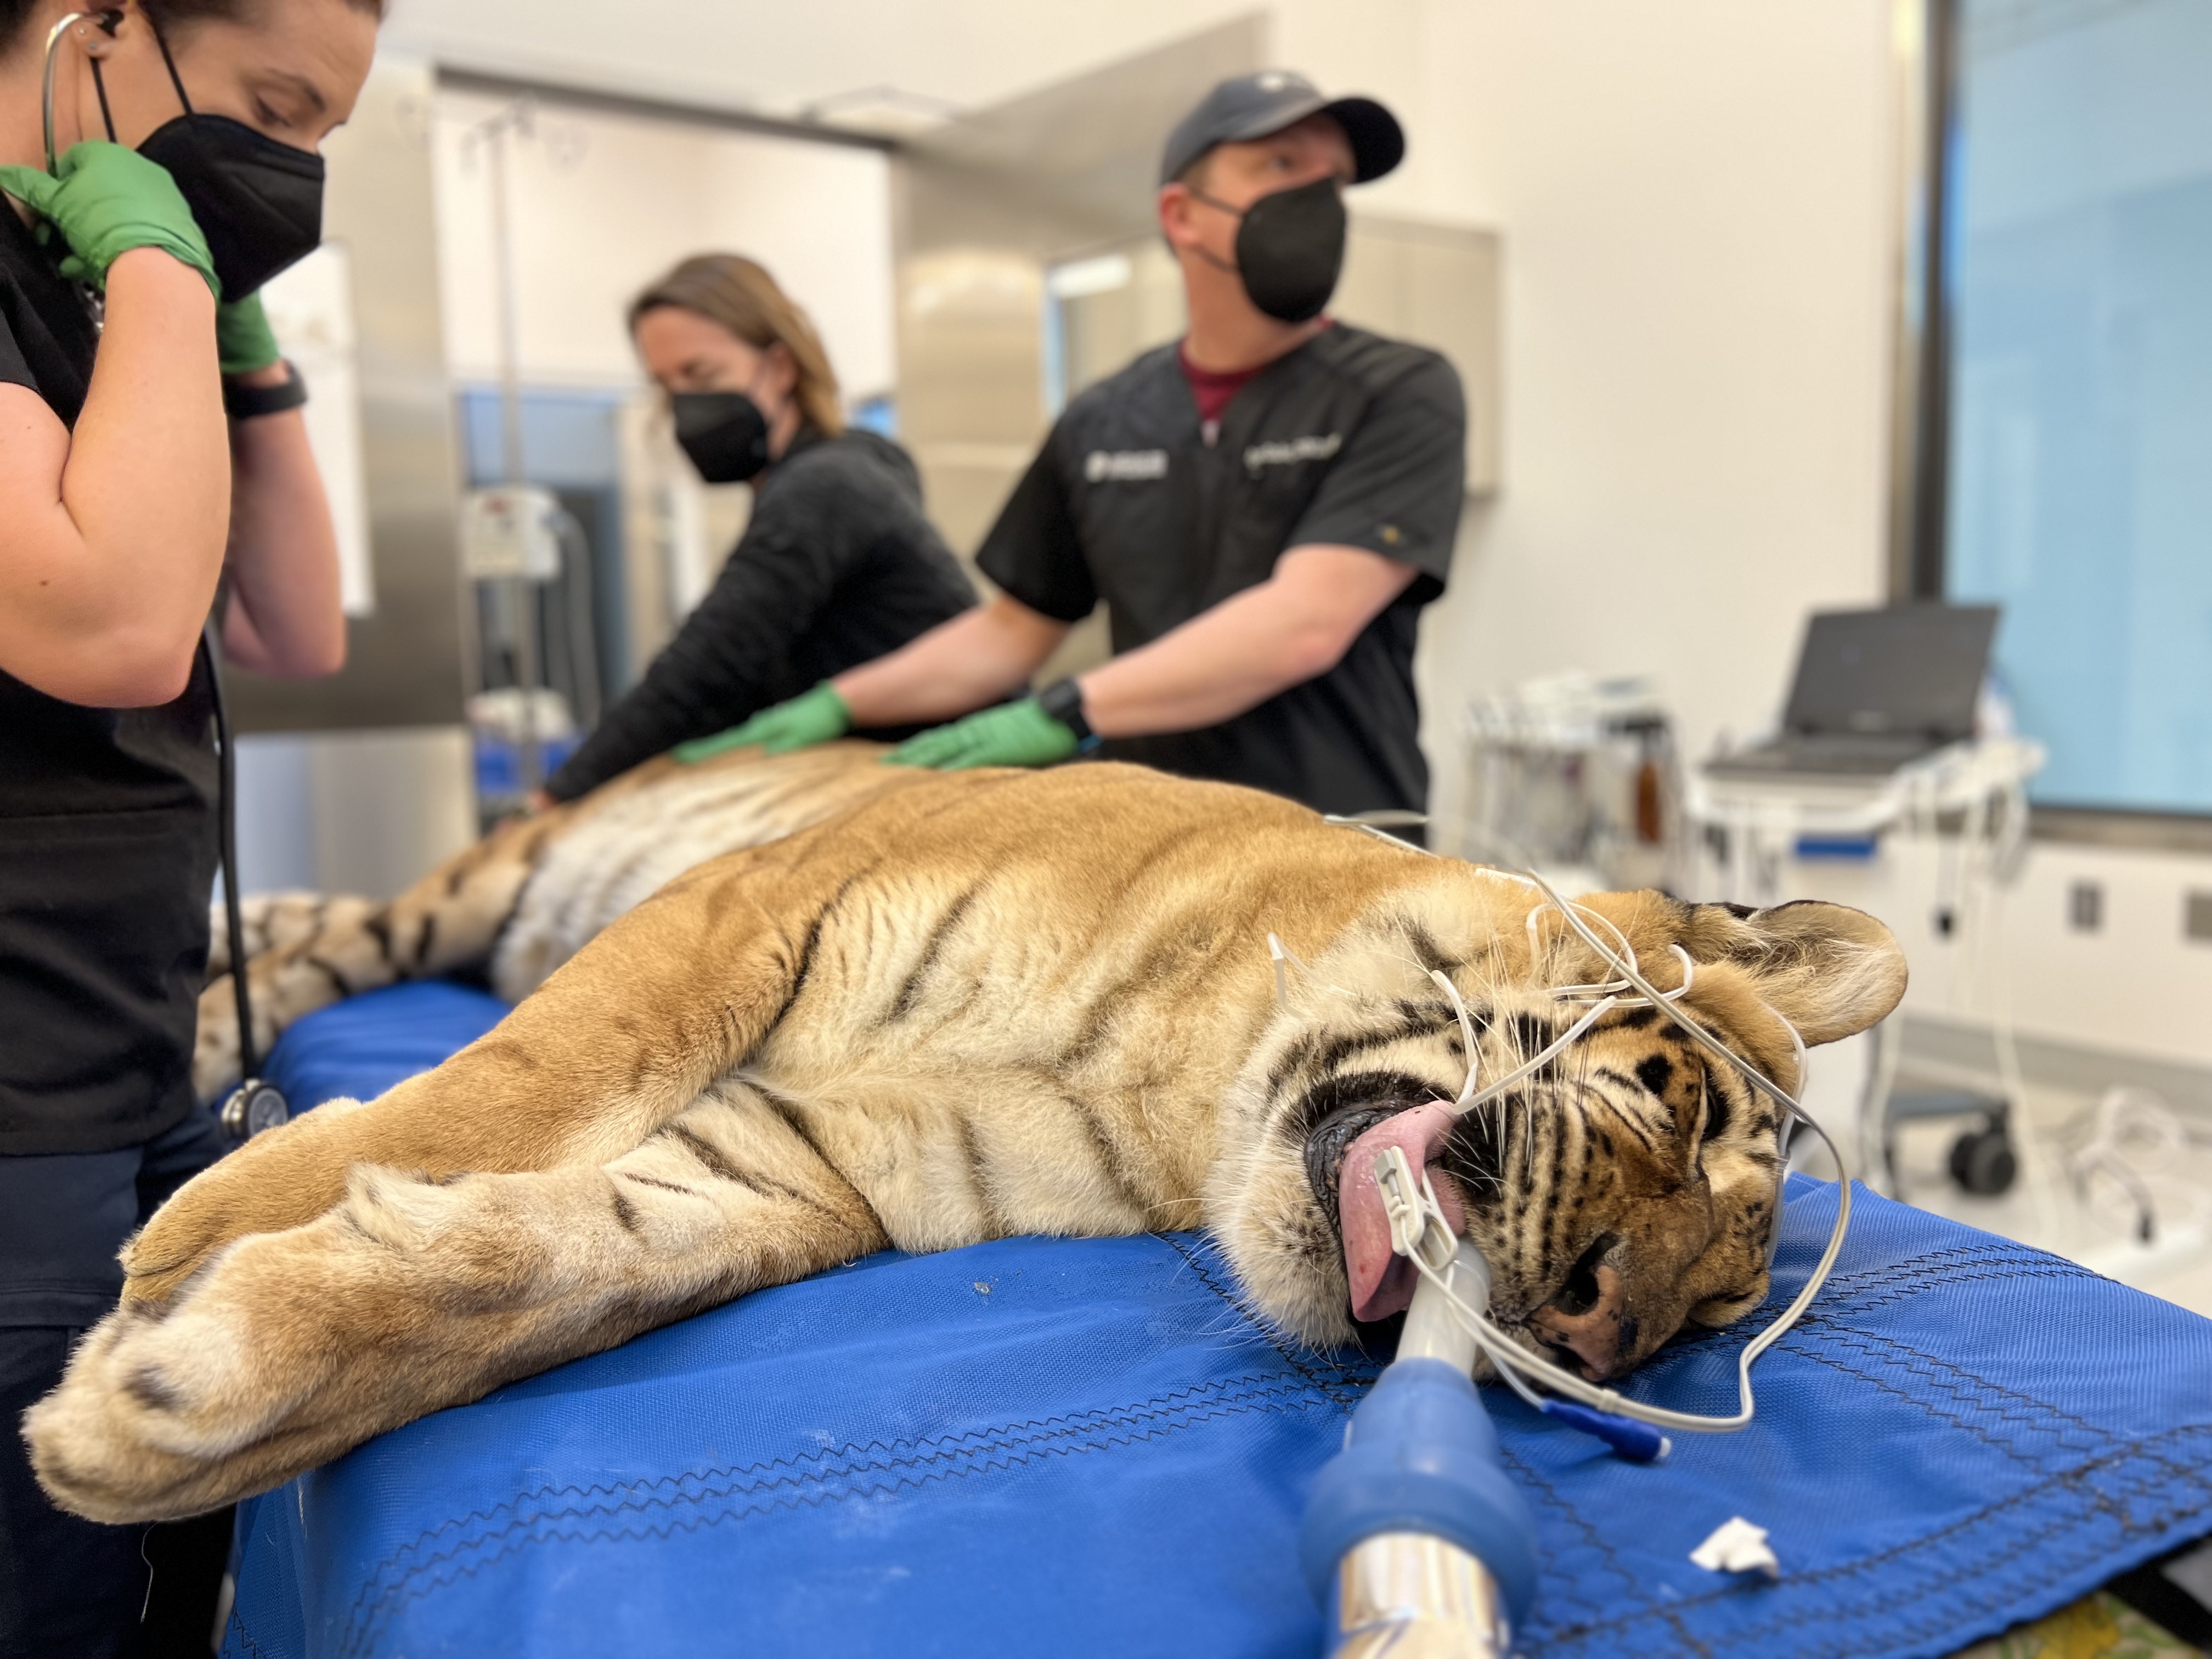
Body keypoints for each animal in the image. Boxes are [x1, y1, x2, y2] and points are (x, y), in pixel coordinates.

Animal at [28, 743, 1907, 1525]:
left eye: (1685, 1332)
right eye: (1673, 1108)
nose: (1589, 1318)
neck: (1173, 1090)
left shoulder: (811, 1164)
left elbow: (556, 1270)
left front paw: (162, 1405)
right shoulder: (747, 909)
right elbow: (535, 1076)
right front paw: (194, 1239)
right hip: (491, 884)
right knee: (350, 933)